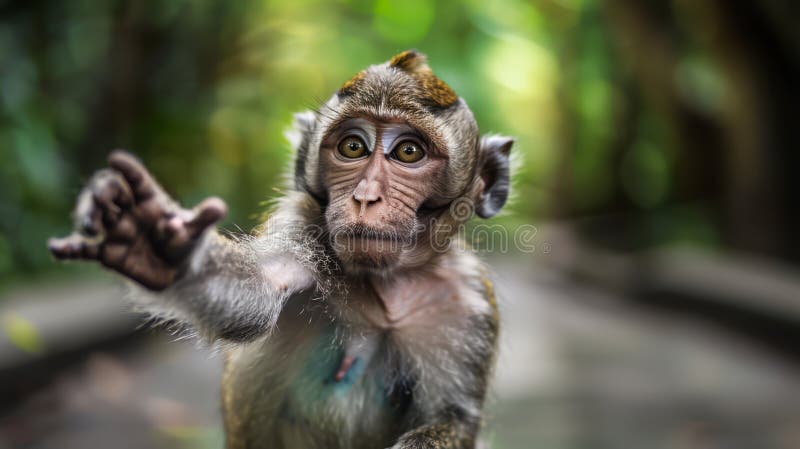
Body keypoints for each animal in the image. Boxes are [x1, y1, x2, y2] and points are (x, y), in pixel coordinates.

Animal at [48, 50, 513, 449]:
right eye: (353, 147)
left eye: (409, 151)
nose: (366, 197)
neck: (385, 283)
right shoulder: (298, 227)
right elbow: (253, 294)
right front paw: (154, 243)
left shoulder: (470, 304)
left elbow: (453, 417)